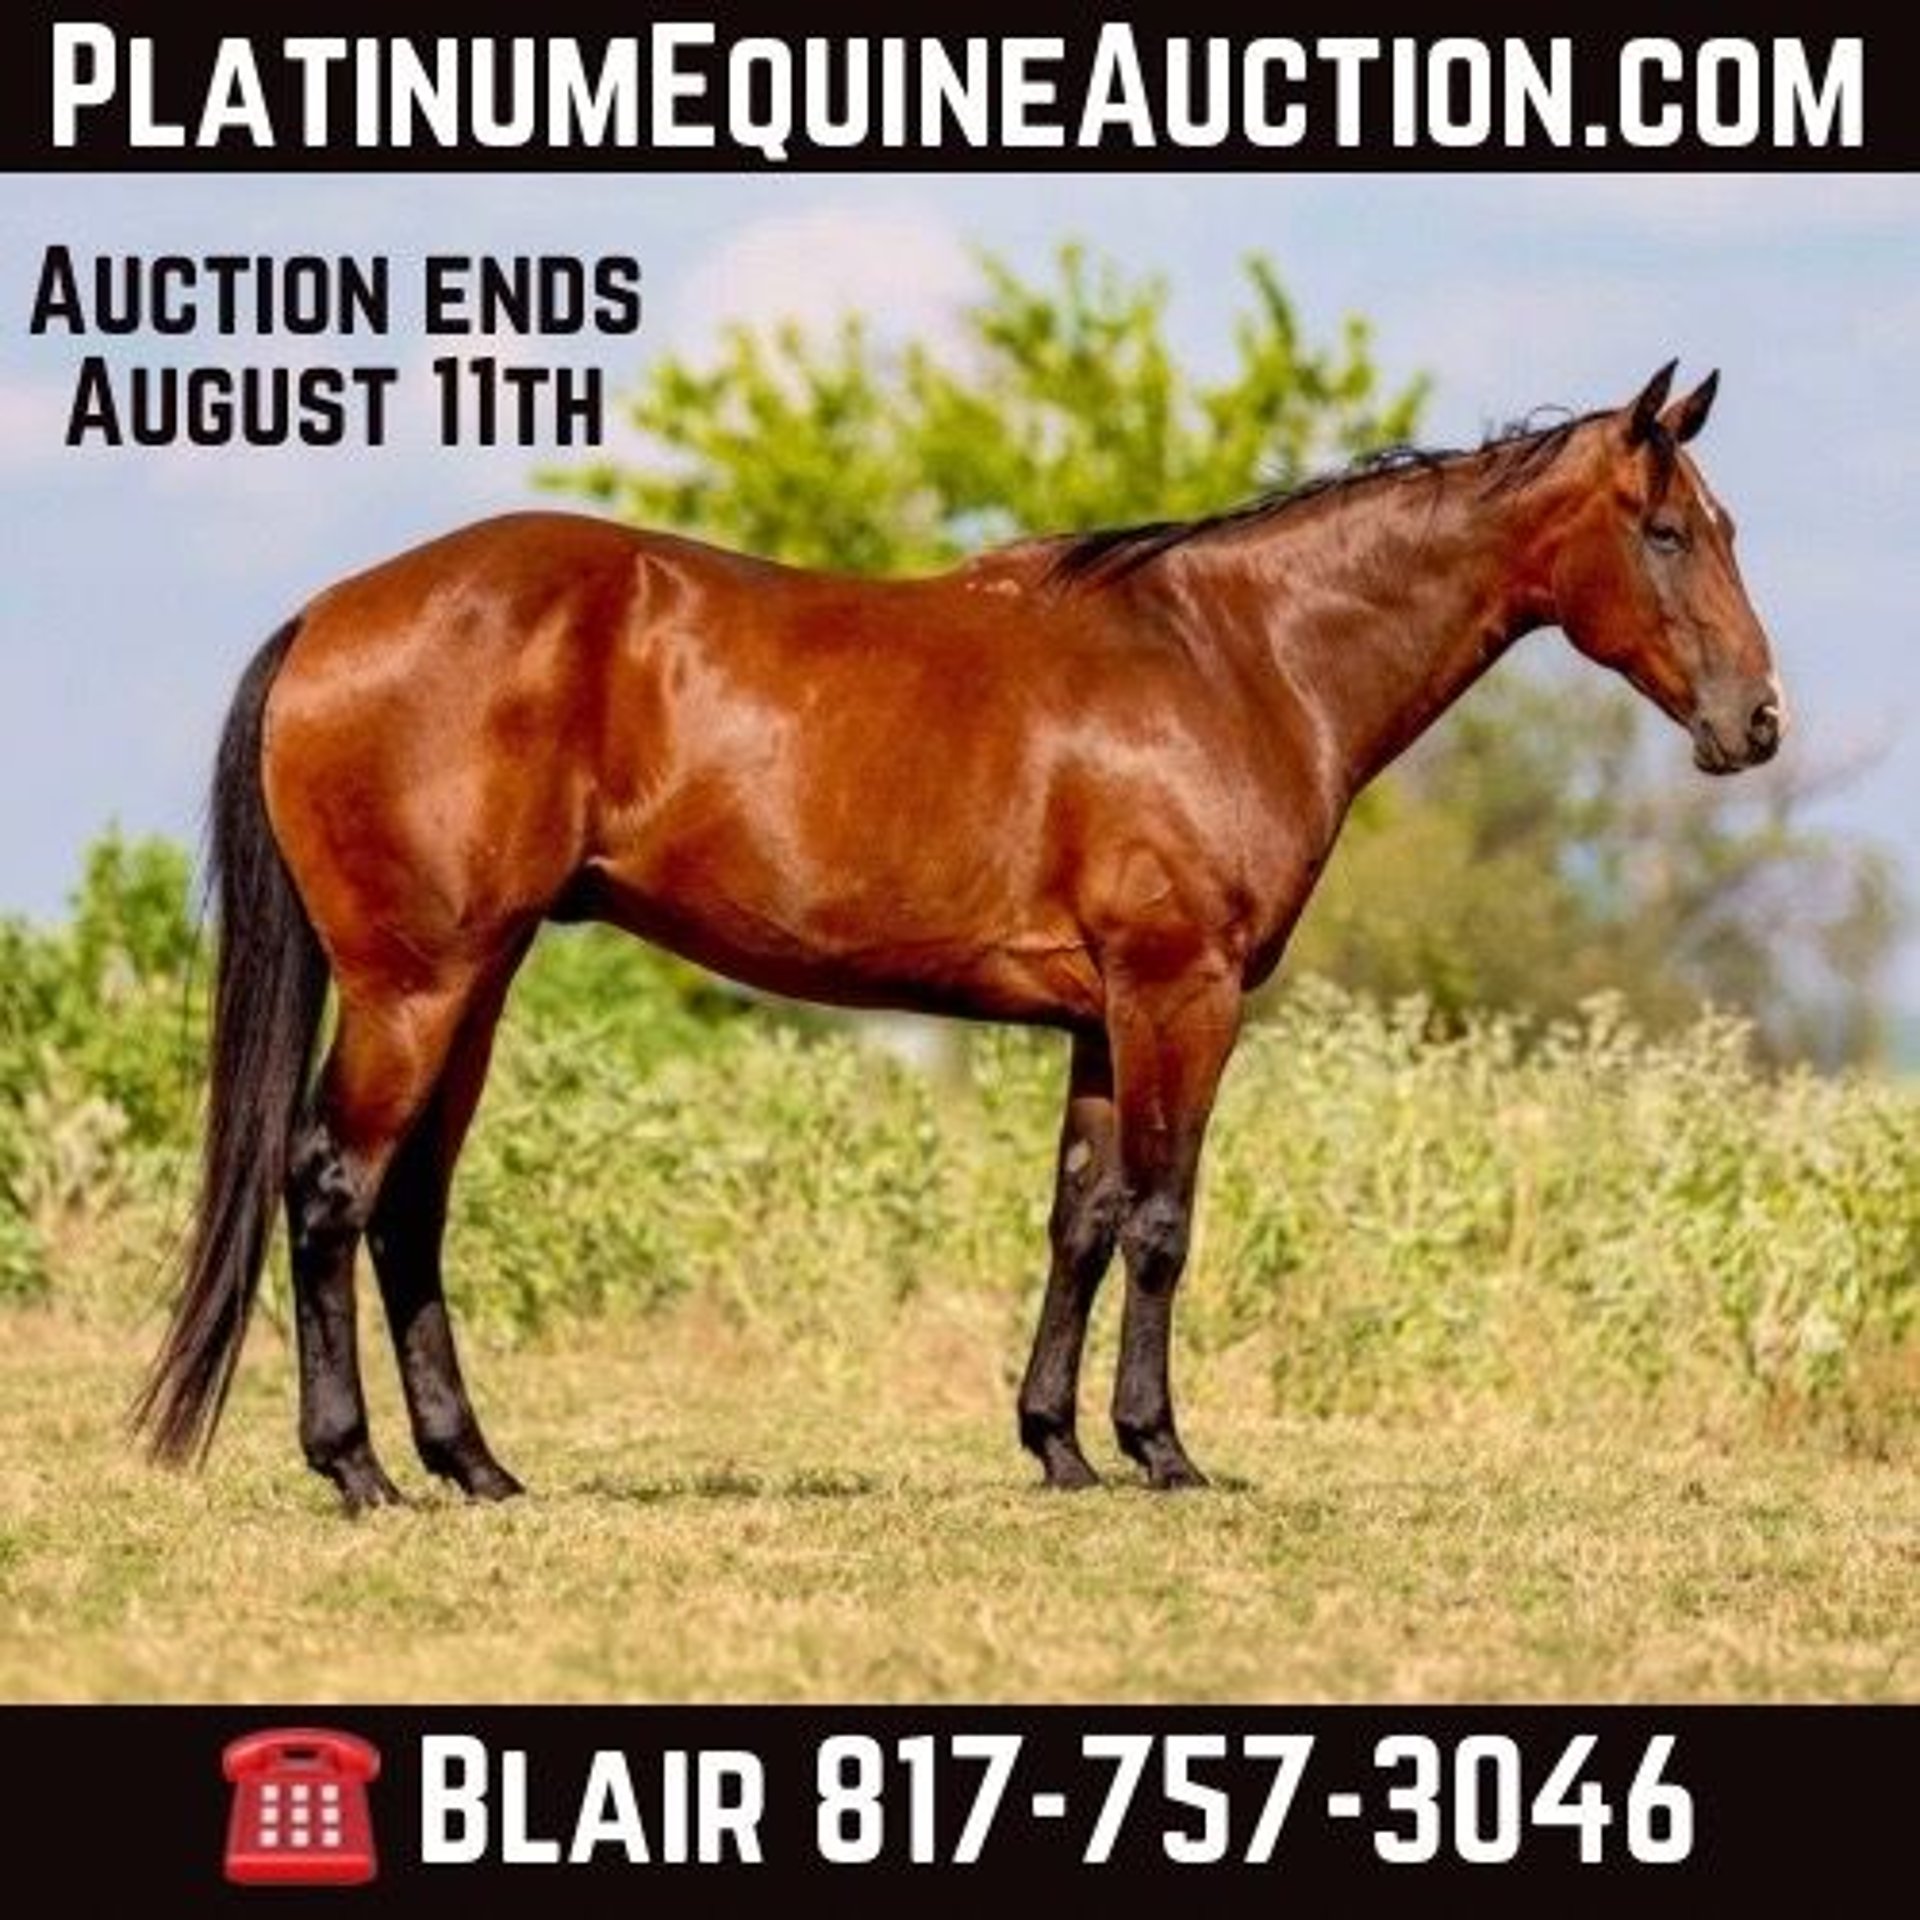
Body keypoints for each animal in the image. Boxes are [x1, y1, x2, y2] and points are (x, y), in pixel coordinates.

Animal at [135, 361, 1785, 1510]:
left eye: (1725, 524)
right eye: (1662, 530)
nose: (1756, 723)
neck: (1237, 656)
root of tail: (331, 615)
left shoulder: (1102, 1019)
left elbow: (1082, 1222)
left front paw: (1058, 1447)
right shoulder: (1181, 995)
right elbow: (1164, 1223)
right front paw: (1161, 1451)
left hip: (471, 988)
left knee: (408, 1208)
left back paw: (474, 1467)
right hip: (416, 986)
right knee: (331, 1187)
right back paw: (357, 1469)